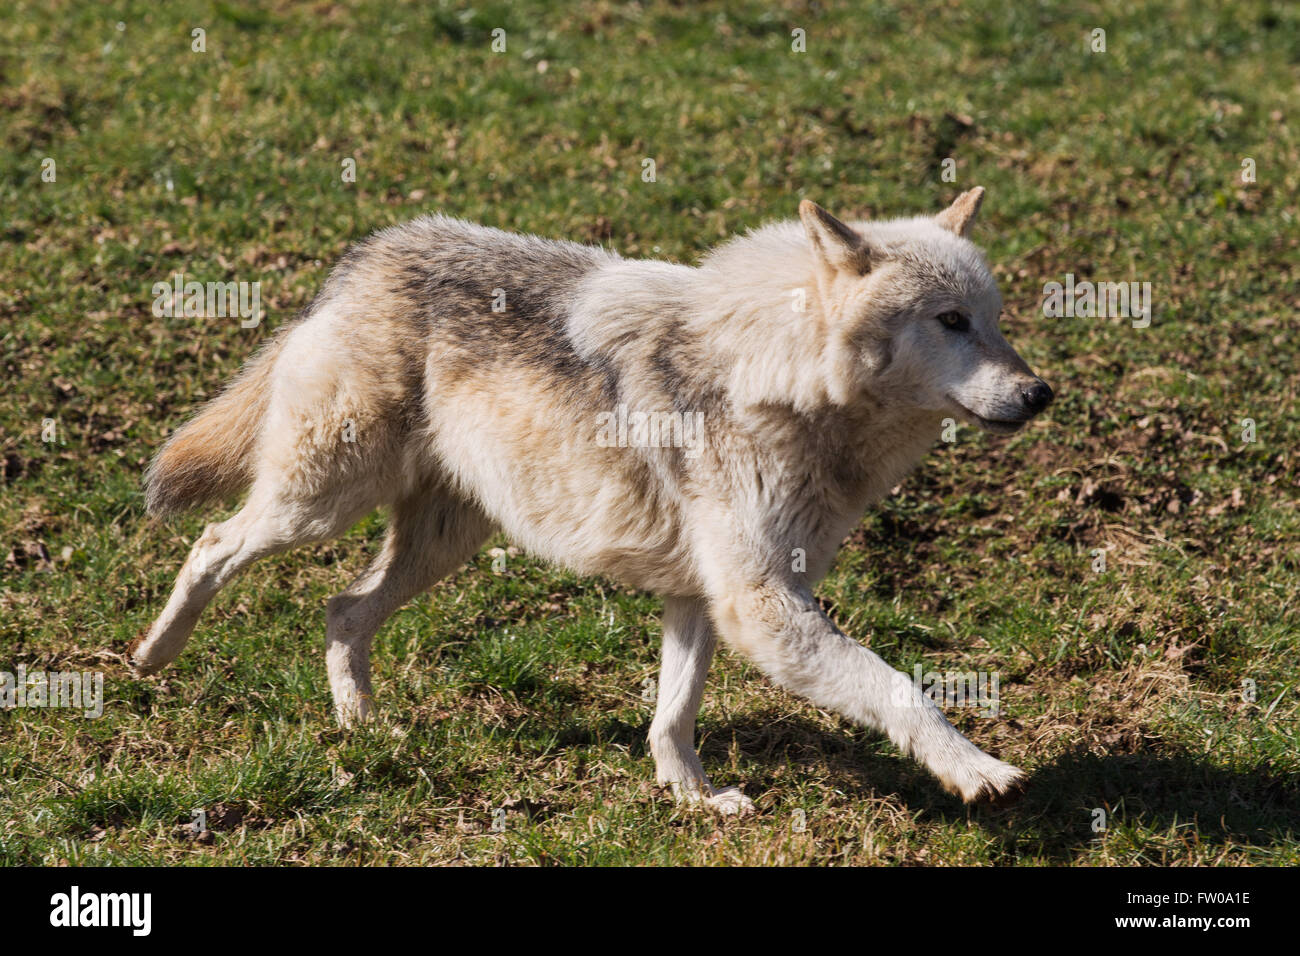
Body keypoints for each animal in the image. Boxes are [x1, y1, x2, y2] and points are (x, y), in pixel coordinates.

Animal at [132, 188, 1053, 813]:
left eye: (997, 320)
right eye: (951, 321)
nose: (1040, 393)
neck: (777, 378)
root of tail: (369, 251)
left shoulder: (702, 597)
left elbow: (672, 716)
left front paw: (693, 800)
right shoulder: (760, 605)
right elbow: (896, 685)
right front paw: (979, 771)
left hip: (440, 542)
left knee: (340, 610)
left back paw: (363, 728)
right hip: (320, 503)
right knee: (213, 544)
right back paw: (151, 657)